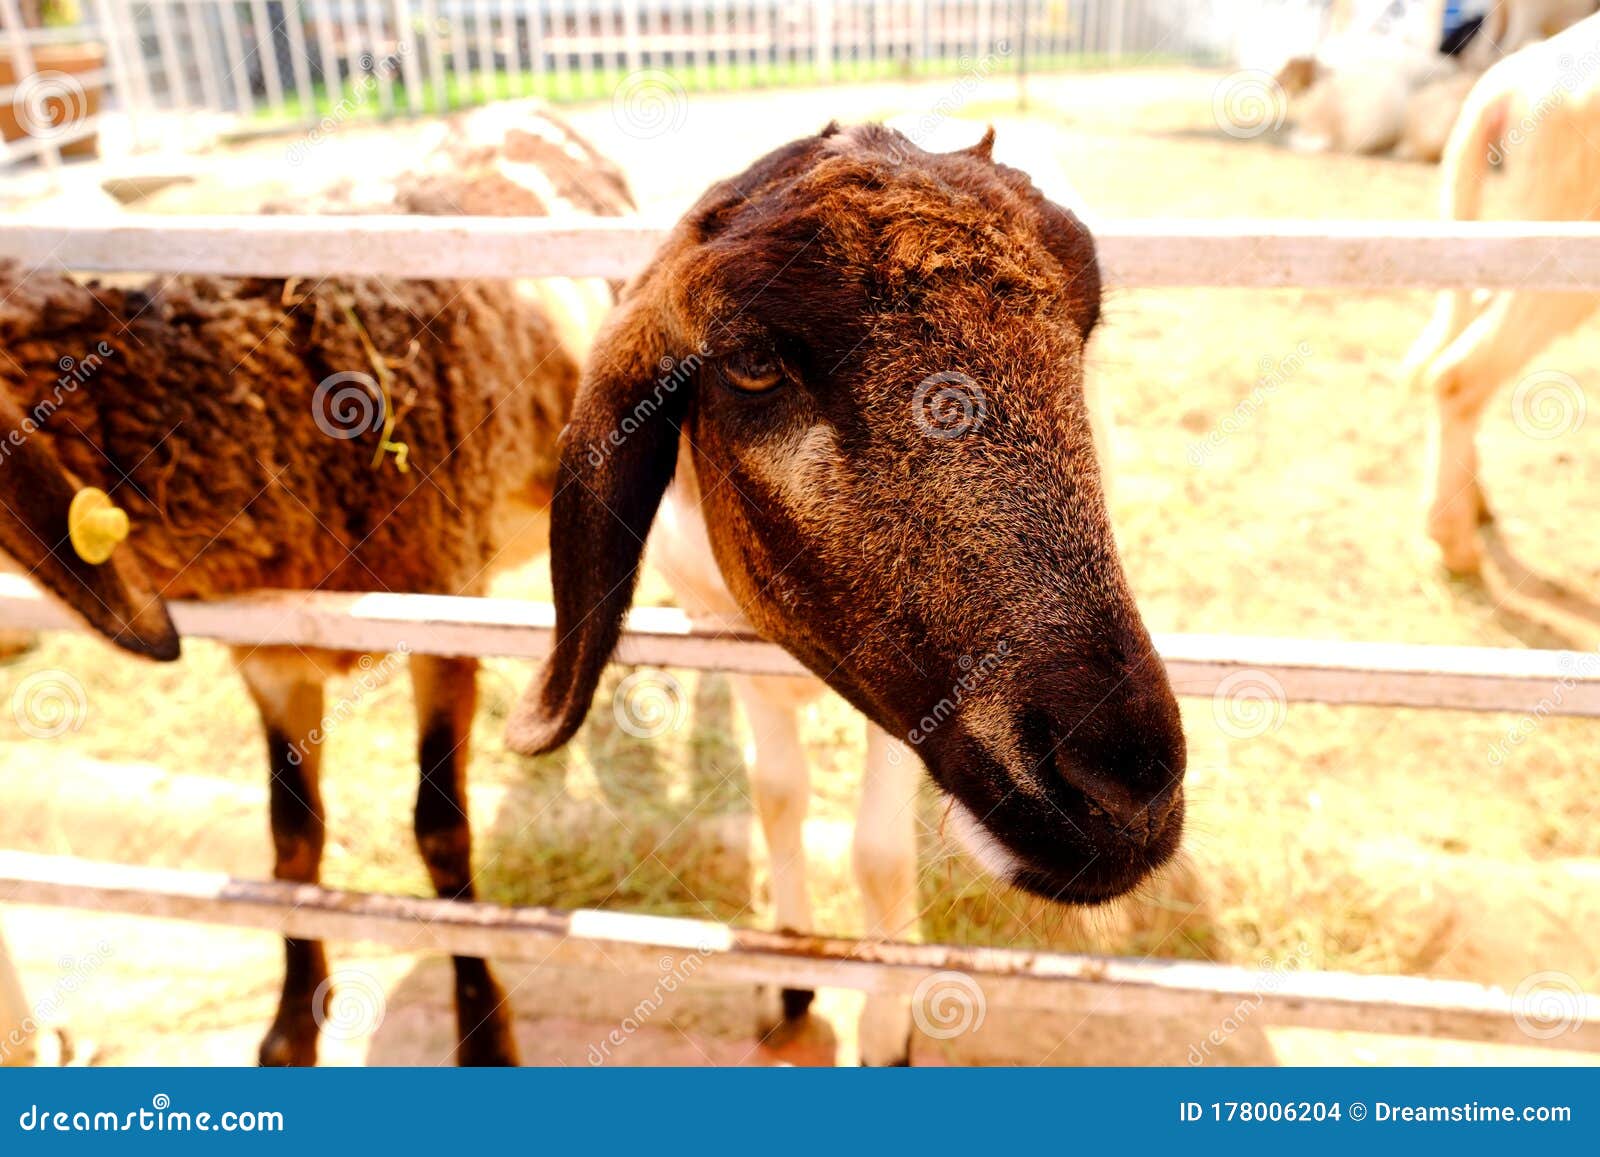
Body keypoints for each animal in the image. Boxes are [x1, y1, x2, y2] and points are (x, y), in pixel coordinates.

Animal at [0, 108, 630, 1066]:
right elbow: (292, 837)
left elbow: (440, 830)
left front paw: (483, 1031)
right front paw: (294, 1021)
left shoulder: (442, 622)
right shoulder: (271, 654)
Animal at [507, 122, 1188, 1063]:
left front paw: (887, 1025)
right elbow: (777, 794)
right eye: (753, 361)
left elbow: (877, 856)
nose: (1126, 786)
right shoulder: (731, 633)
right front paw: (790, 974)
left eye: (1080, 334)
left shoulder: (906, 703)